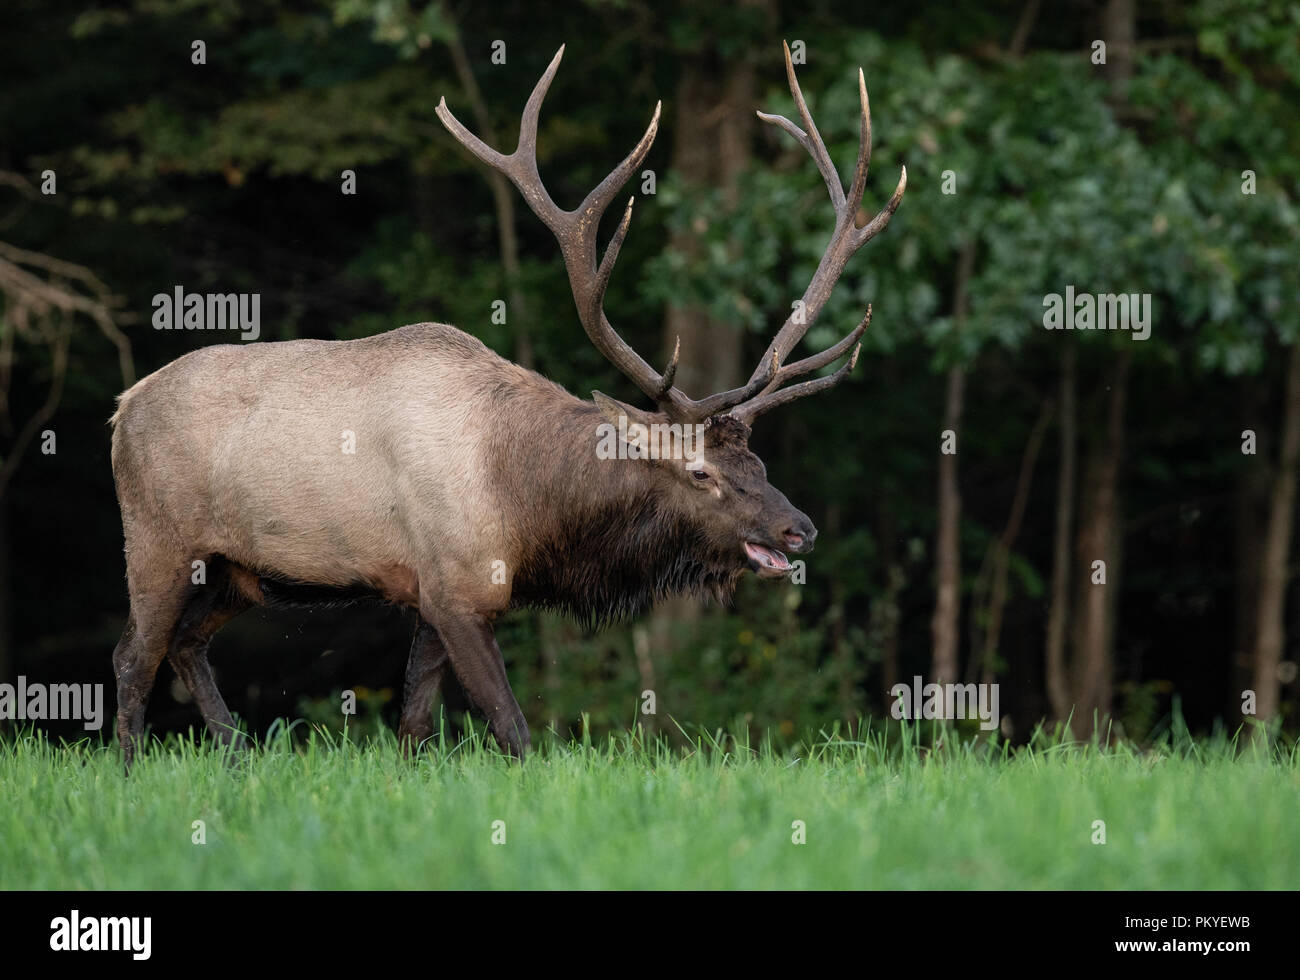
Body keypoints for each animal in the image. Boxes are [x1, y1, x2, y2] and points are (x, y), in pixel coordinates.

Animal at [108, 42, 905, 767]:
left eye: (759, 463)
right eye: (700, 473)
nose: (799, 529)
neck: (527, 510)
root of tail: (121, 407)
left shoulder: (433, 593)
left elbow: (415, 723)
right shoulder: (455, 590)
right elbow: (513, 731)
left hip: (238, 570)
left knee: (183, 646)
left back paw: (237, 755)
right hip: (157, 537)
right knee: (134, 653)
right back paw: (130, 766)